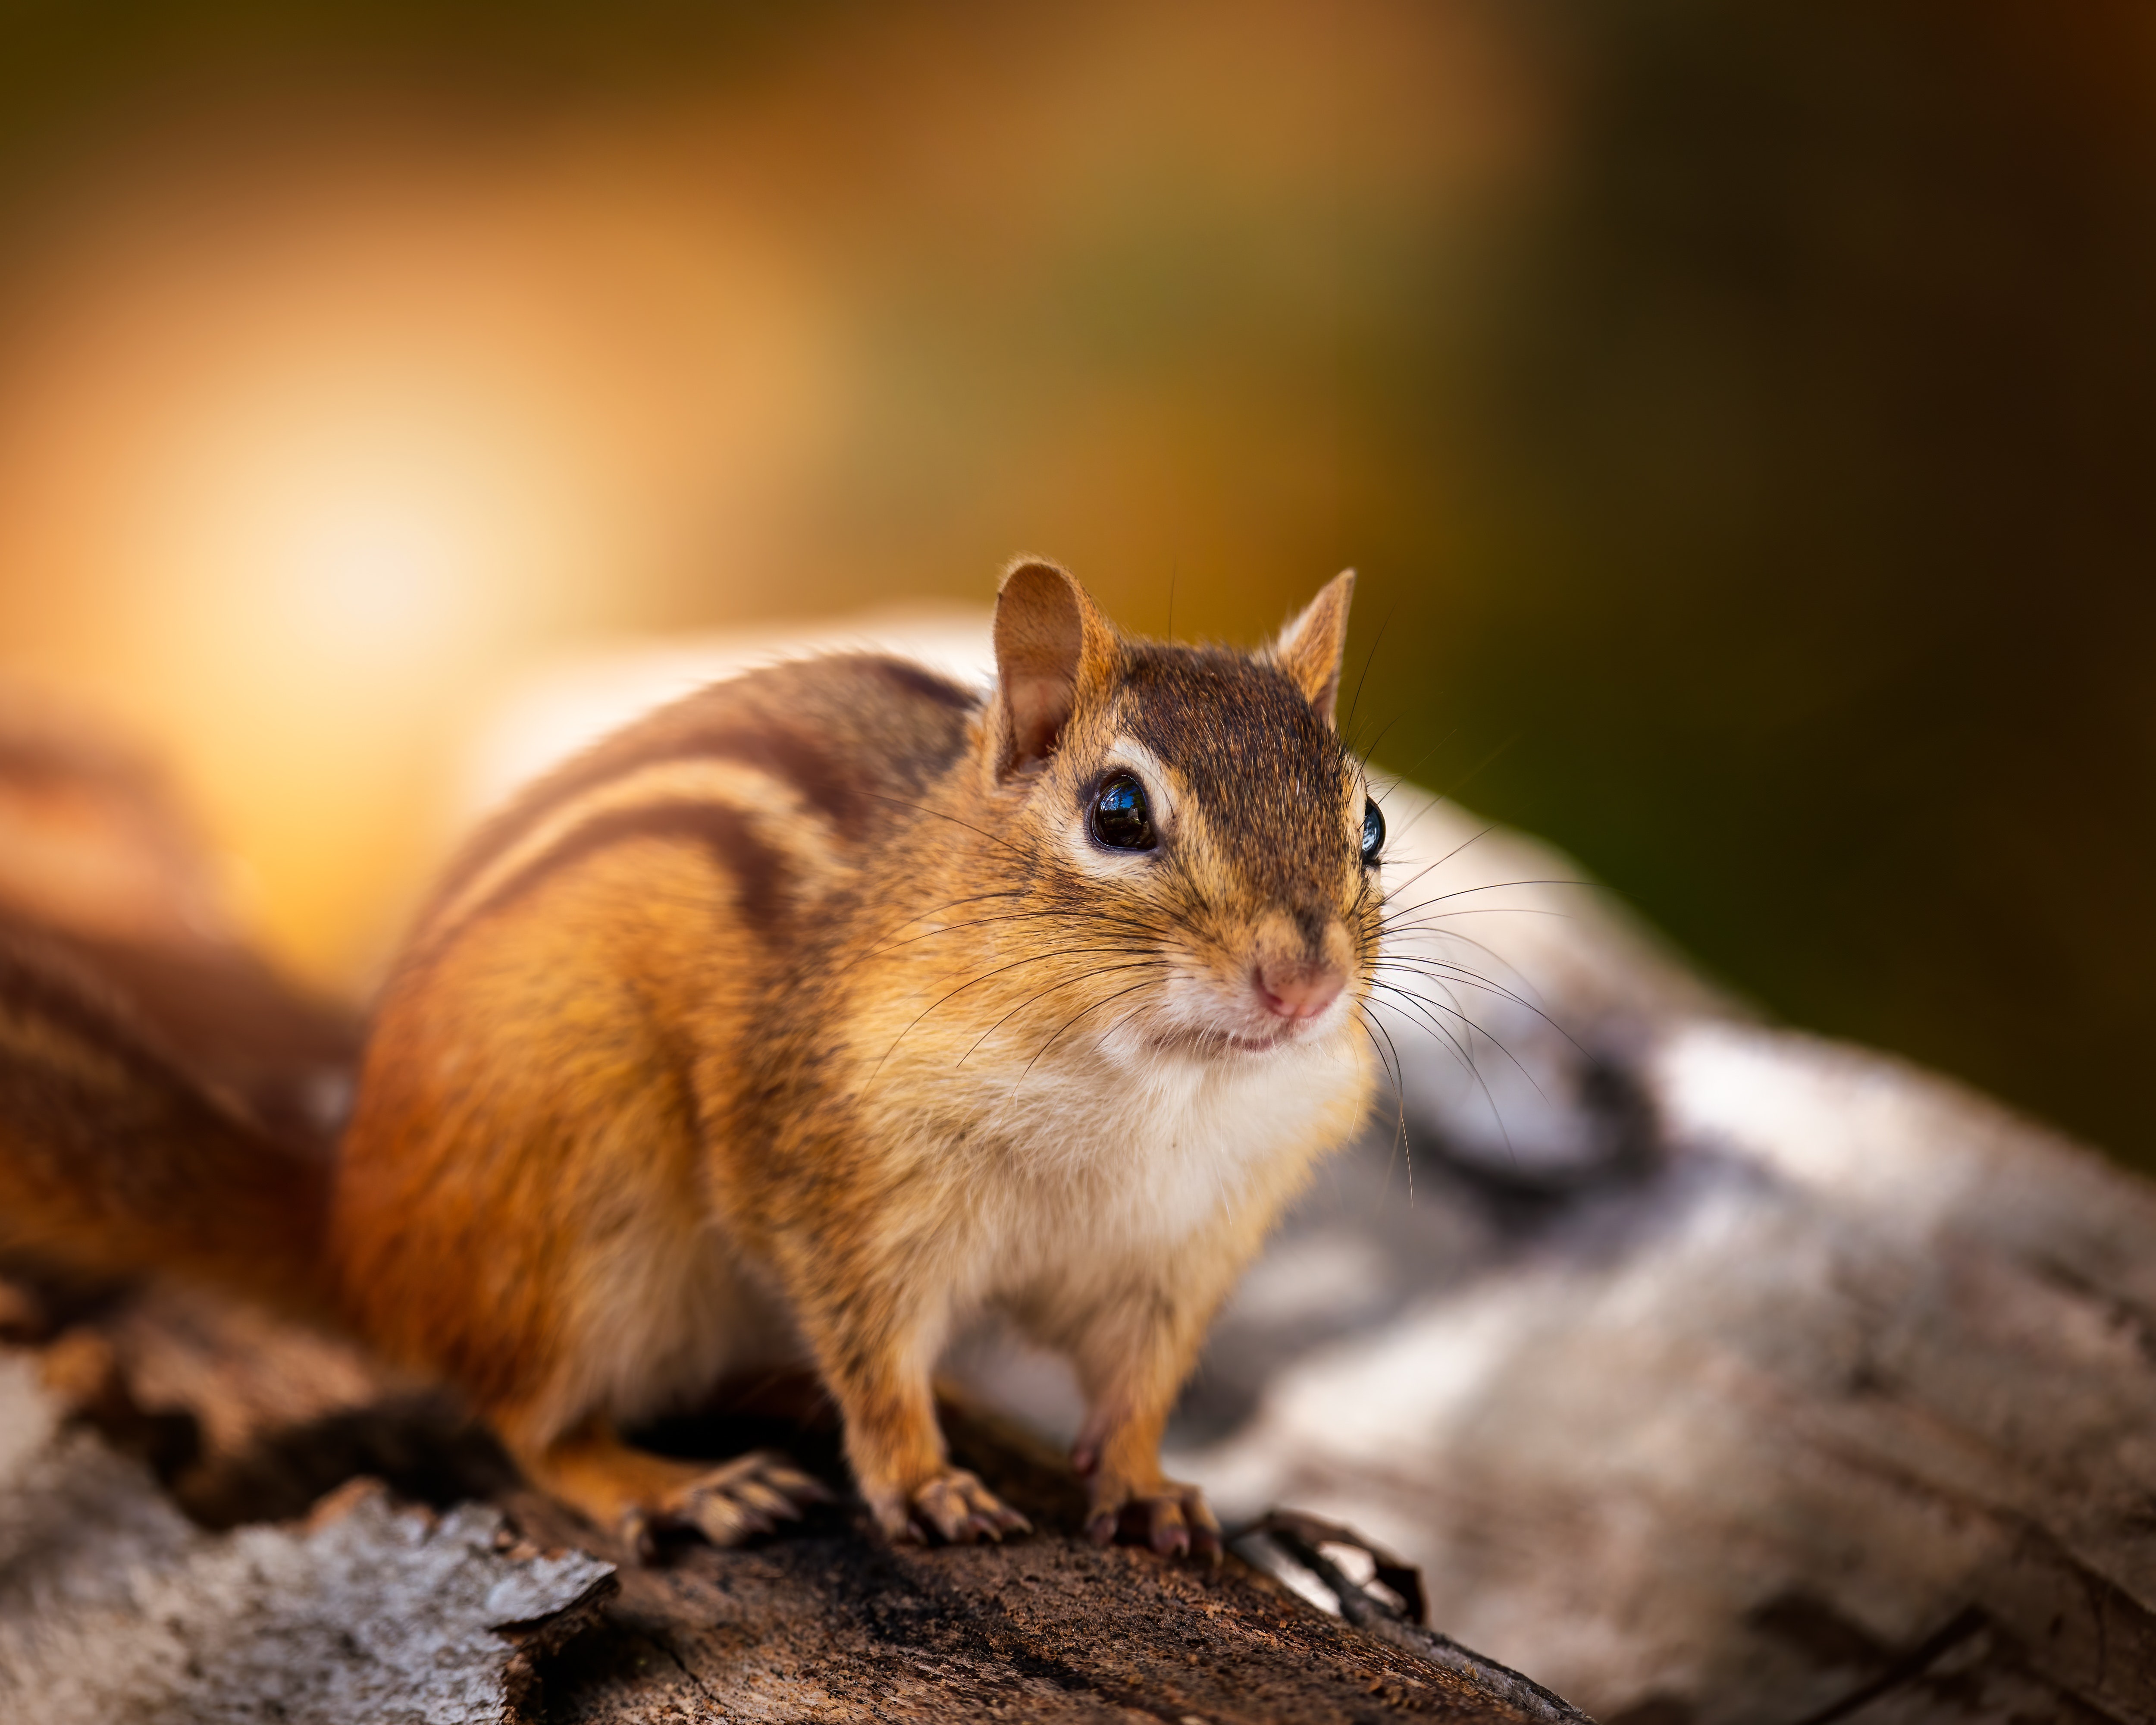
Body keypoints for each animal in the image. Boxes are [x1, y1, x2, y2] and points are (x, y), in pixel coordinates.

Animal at [0, 559, 1384, 1561]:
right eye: (1119, 813)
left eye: (1367, 823)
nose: (1304, 982)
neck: (1151, 1081)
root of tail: (354, 1237)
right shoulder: (831, 1175)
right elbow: (877, 1358)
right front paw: (924, 1481)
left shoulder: (1181, 1241)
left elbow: (1140, 1382)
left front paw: (1148, 1487)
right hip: (575, 1209)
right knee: (526, 1420)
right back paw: (674, 1486)